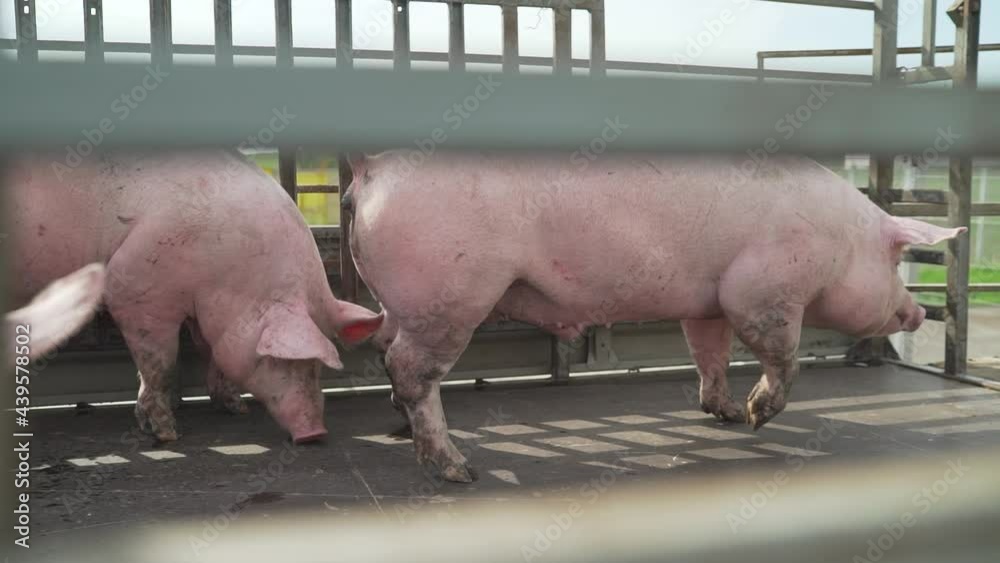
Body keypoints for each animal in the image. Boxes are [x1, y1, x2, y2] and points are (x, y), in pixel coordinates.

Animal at [6, 150, 383, 443]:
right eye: (284, 361)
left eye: (318, 368)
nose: (315, 433)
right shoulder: (136, 288)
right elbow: (160, 363)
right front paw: (166, 434)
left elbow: (212, 351)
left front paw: (235, 407)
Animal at [347, 150, 965, 482]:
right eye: (896, 259)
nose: (916, 312)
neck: (839, 241)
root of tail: (375, 167)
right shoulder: (762, 290)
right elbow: (781, 356)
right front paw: (756, 417)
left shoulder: (709, 301)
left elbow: (709, 353)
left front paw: (725, 414)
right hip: (449, 296)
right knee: (411, 368)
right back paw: (456, 468)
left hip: (403, 302)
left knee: (385, 350)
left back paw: (401, 428)